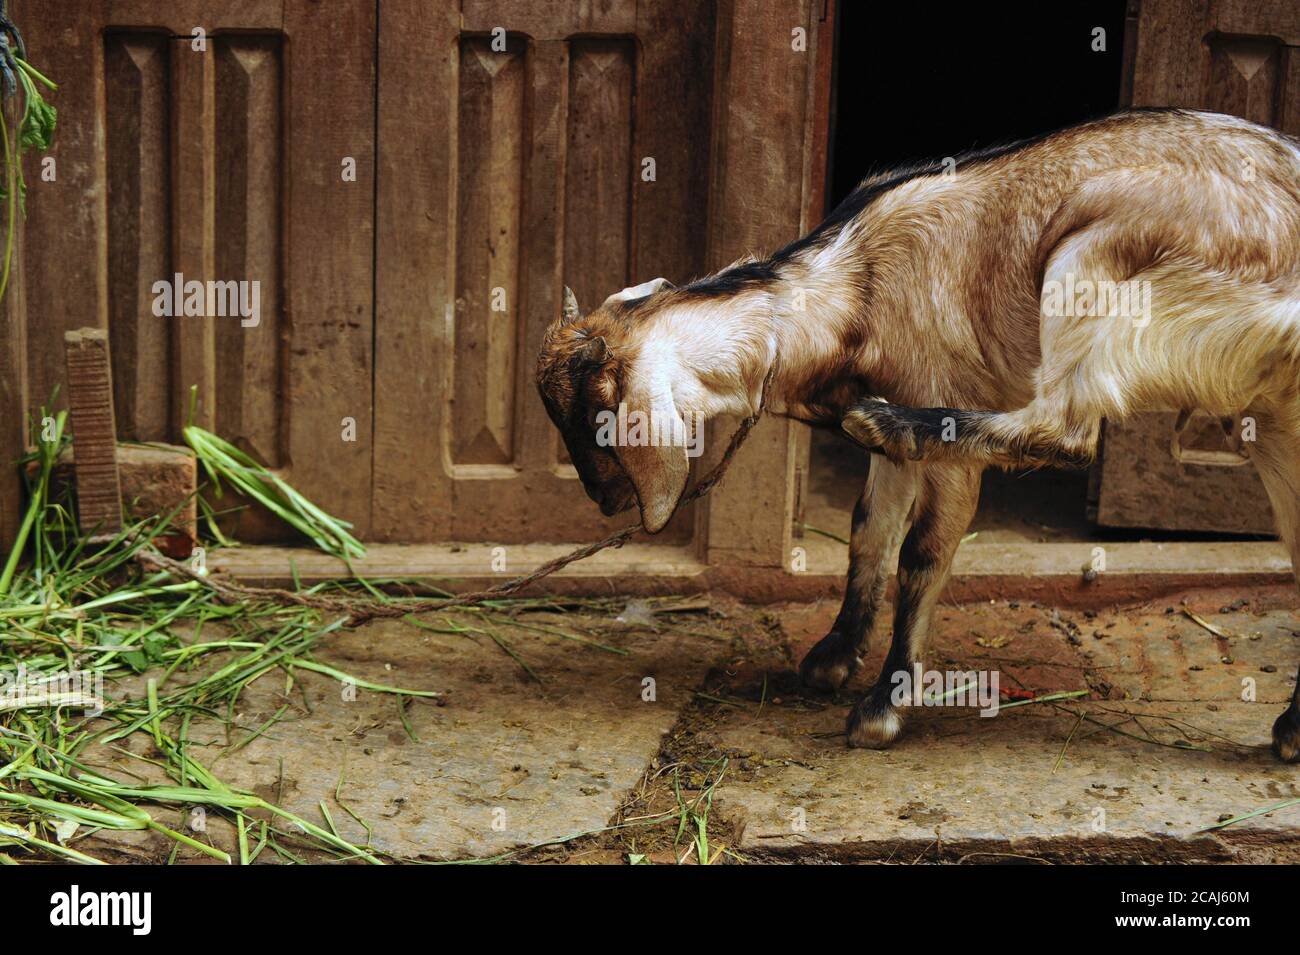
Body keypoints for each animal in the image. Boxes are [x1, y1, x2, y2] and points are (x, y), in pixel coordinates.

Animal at [537, 108, 1300, 762]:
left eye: (597, 422)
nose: (601, 504)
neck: (847, 287)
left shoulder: (948, 424)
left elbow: (922, 552)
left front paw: (882, 707)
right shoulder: (891, 463)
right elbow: (868, 532)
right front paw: (834, 656)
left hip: (1090, 257)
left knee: (1067, 425)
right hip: (1274, 418)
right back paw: (1291, 731)